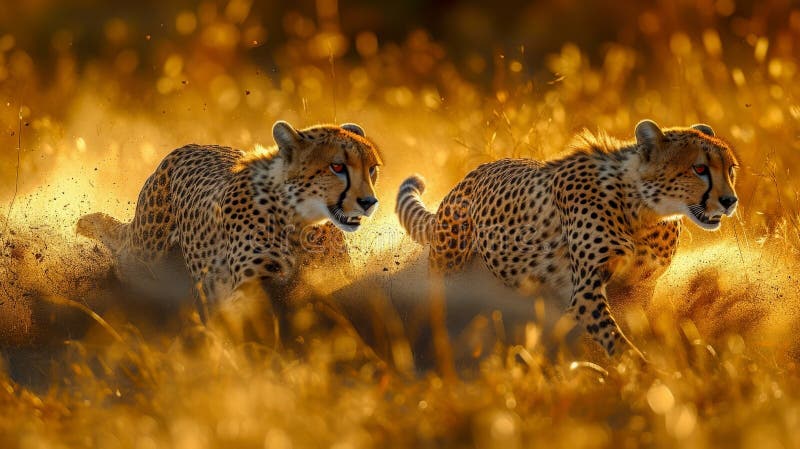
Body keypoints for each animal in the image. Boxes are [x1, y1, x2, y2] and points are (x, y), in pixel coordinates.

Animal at [77, 121, 382, 312]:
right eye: (337, 167)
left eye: (372, 168)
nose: (369, 202)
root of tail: (191, 146)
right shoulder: (249, 290)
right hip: (144, 253)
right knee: (123, 257)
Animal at [396, 120, 739, 358]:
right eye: (699, 168)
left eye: (731, 169)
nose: (730, 201)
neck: (645, 212)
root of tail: (464, 180)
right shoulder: (585, 291)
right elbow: (615, 339)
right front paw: (643, 374)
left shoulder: (638, 289)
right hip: (448, 273)